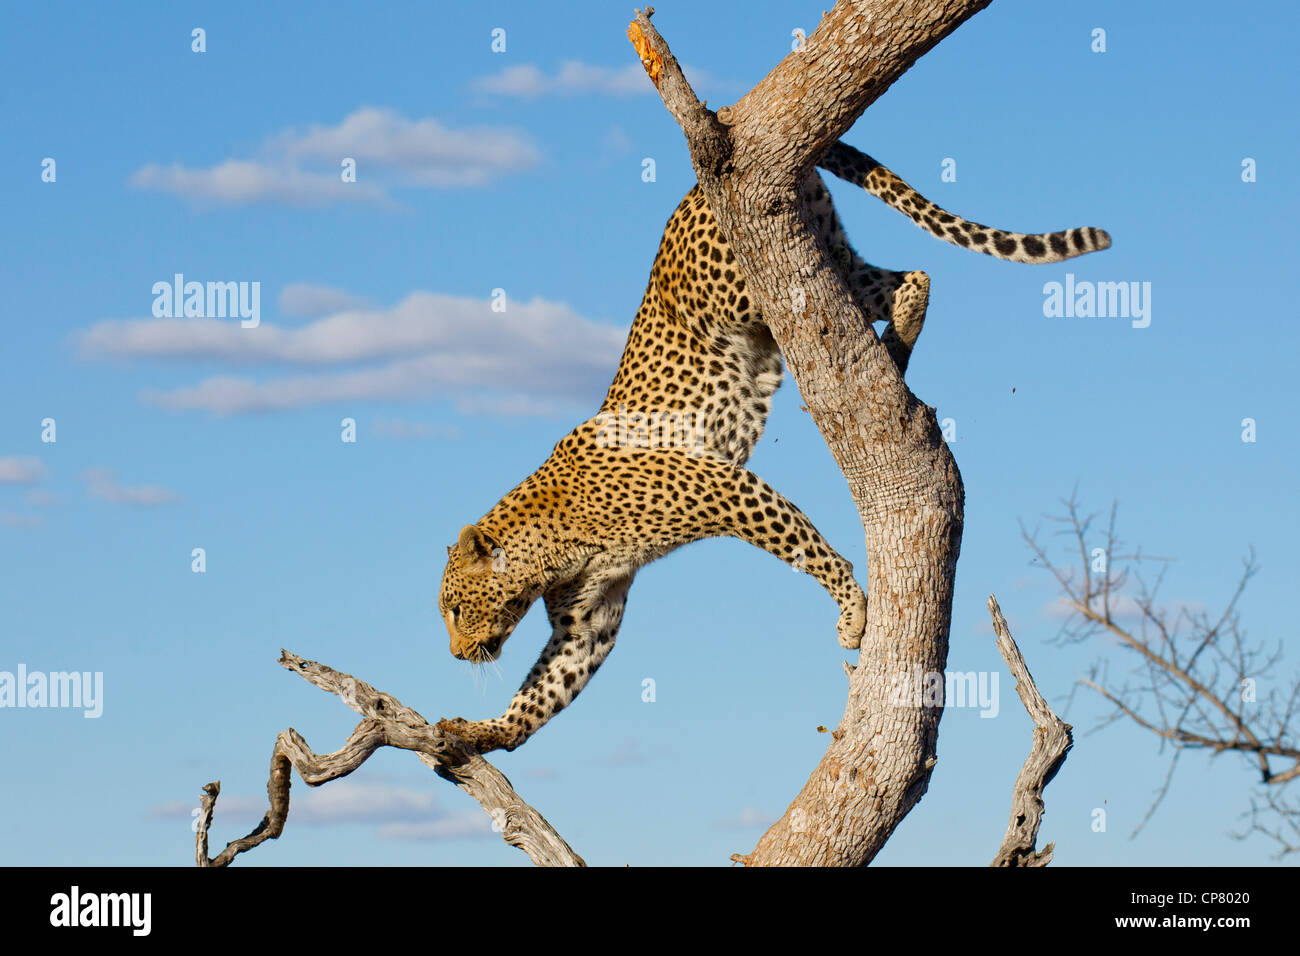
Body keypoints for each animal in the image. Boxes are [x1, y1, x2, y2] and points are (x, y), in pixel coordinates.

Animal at [435, 141, 1111, 754]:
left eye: (454, 609)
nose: (458, 654)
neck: (546, 550)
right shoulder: (589, 620)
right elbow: (542, 692)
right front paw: (483, 734)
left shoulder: (718, 487)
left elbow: (801, 544)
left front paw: (852, 612)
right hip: (826, 250)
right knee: (907, 279)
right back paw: (891, 354)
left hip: (748, 283)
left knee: (832, 293)